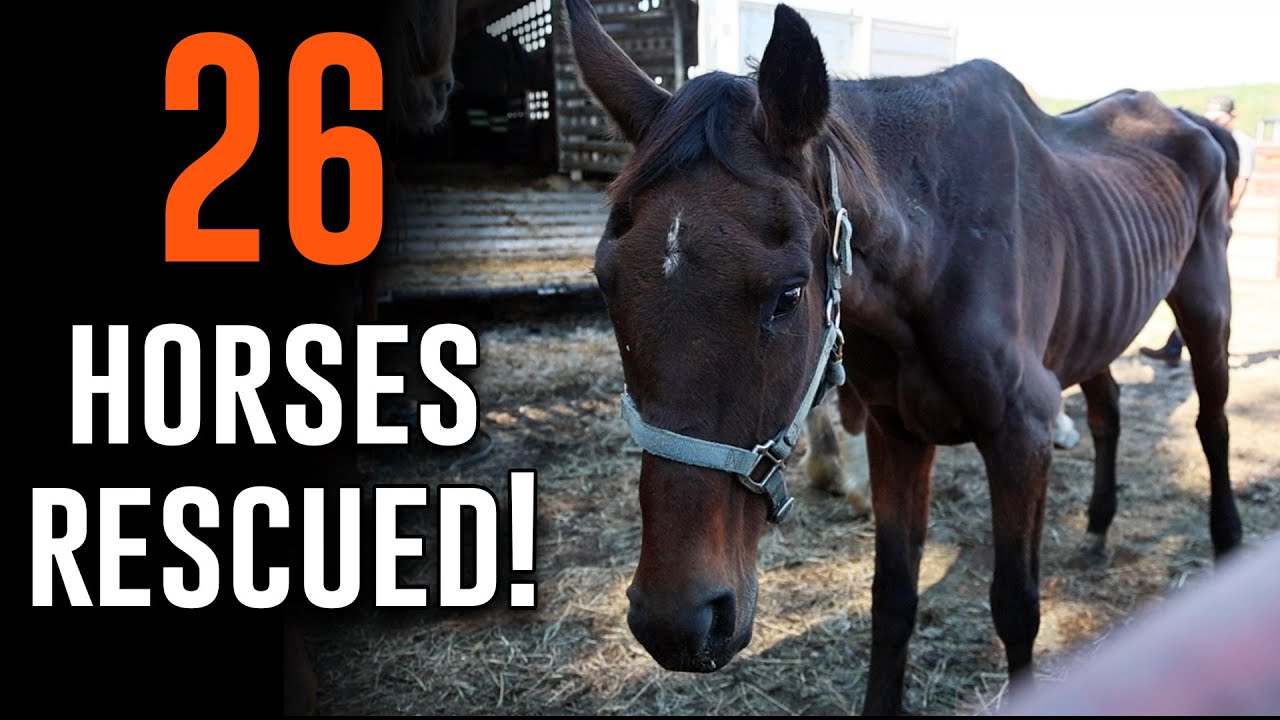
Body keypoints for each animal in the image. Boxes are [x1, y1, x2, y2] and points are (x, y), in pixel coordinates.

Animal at [565, 0, 1241, 714]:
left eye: (788, 294)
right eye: (606, 282)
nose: (678, 620)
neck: (941, 247)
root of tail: (1195, 123)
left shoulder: (1019, 436)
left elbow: (1016, 607)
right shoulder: (898, 436)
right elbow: (892, 601)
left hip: (1205, 301)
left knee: (1211, 423)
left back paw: (1227, 542)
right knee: (1108, 412)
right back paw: (1097, 530)